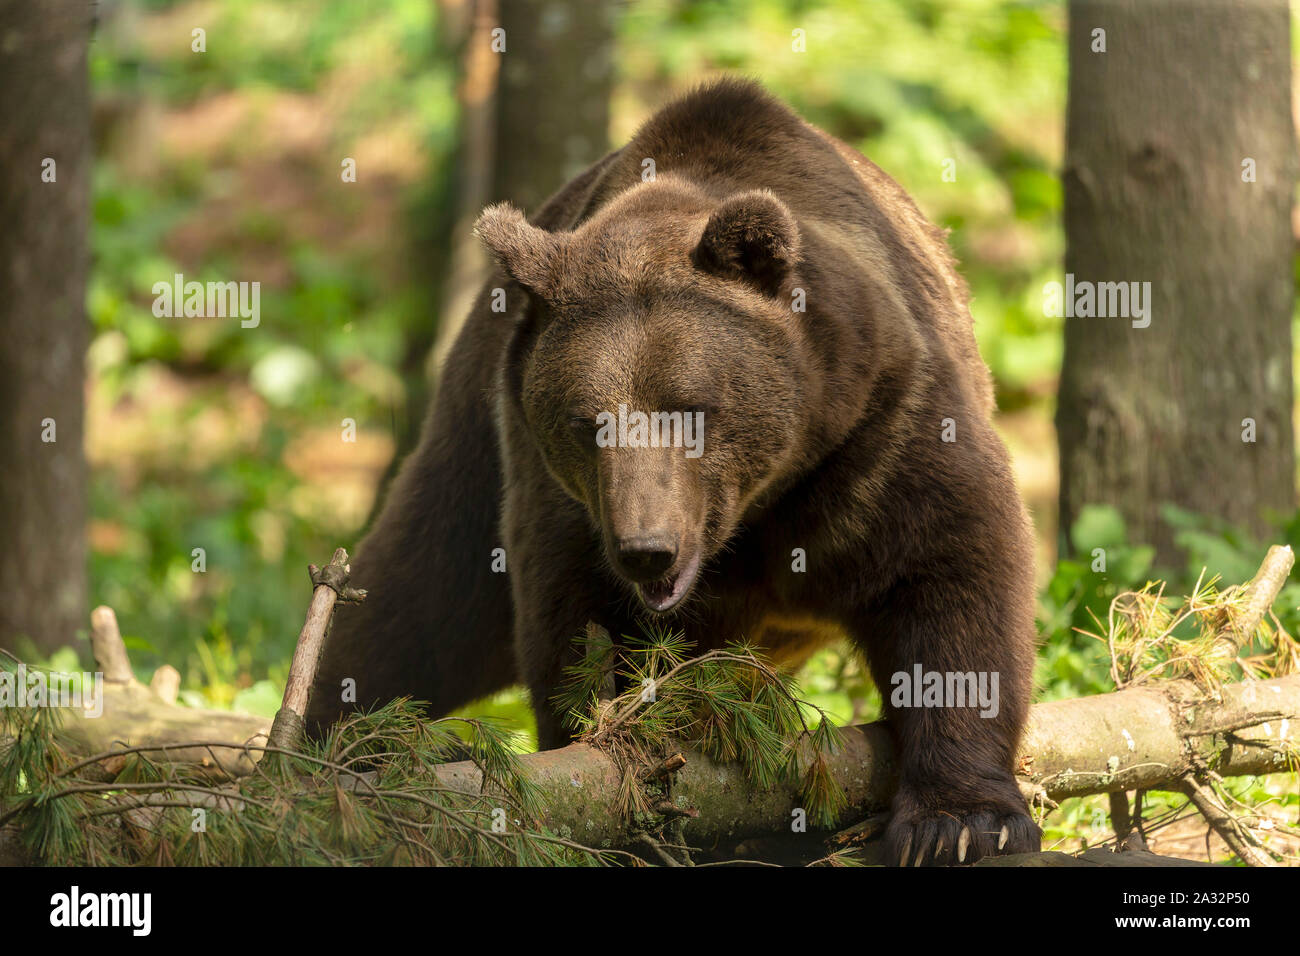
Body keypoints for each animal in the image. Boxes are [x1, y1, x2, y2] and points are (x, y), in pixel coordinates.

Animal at [306, 78, 1042, 866]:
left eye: (691, 410)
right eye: (588, 421)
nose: (647, 549)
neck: (764, 507)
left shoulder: (883, 429)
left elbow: (951, 574)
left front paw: (960, 821)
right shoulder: (566, 504)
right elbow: (579, 638)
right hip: (473, 447)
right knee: (412, 609)